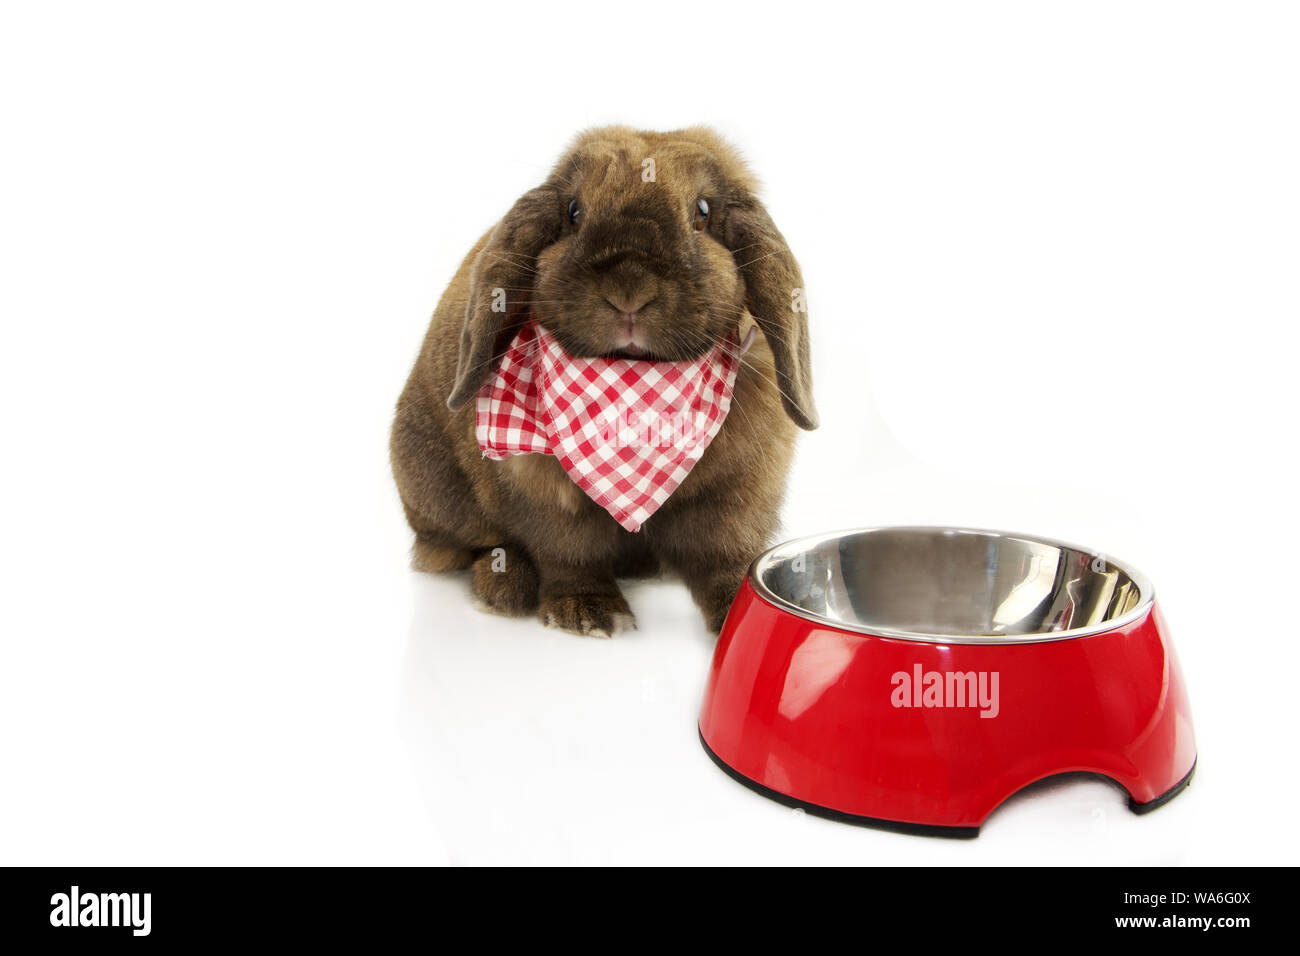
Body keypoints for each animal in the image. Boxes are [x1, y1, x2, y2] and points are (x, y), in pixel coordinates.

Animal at [391, 125, 817, 636]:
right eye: (574, 212)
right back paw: (505, 589)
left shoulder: (738, 493)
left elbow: (724, 554)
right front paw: (589, 613)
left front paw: (737, 609)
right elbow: (570, 554)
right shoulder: (547, 496)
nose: (628, 291)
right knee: (473, 546)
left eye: (702, 211)